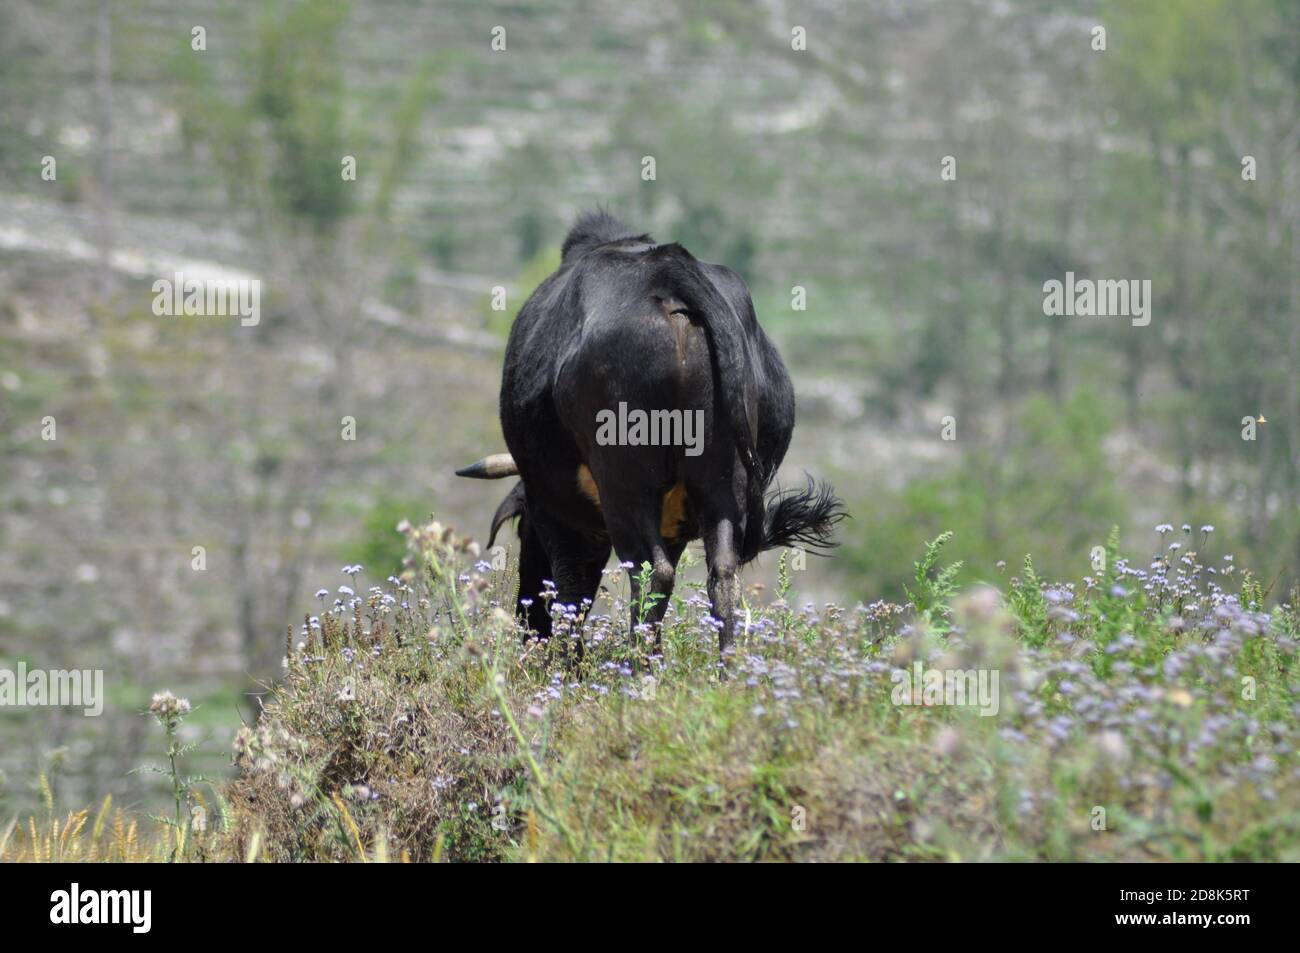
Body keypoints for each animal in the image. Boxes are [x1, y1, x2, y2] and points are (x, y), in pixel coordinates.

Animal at [457, 211, 845, 660]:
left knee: (651, 574)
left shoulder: (556, 509)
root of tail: (670, 270)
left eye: (522, 528)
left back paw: (637, 665)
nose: (527, 621)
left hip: (624, 484)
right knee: (722, 578)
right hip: (723, 486)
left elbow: (573, 588)